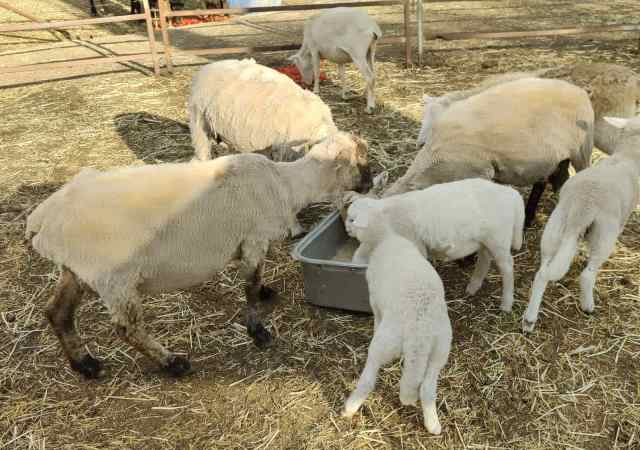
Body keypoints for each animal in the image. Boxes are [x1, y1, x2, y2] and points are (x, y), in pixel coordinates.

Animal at [25, 132, 371, 379]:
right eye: (362, 160)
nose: (370, 181)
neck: (287, 184)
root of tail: (42, 219)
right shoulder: (253, 239)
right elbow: (249, 285)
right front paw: (258, 331)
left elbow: (257, 281)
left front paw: (266, 293)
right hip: (115, 280)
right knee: (128, 329)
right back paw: (172, 363)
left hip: (76, 271)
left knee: (57, 313)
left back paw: (85, 365)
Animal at [341, 206, 452, 435]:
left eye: (353, 219)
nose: (346, 228)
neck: (385, 237)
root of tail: (420, 330)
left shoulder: (374, 299)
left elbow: (376, 315)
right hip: (441, 348)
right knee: (427, 388)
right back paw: (433, 425)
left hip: (385, 343)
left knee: (369, 379)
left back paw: (350, 407)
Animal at [345, 178, 525, 312]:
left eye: (352, 219)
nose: (346, 230)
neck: (386, 218)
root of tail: (510, 193)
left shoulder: (413, 244)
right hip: (486, 239)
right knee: (485, 259)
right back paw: (473, 286)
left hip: (499, 238)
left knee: (507, 266)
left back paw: (506, 303)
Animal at [386, 77, 594, 228]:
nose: (420, 142)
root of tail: (580, 91)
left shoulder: (478, 173)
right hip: (557, 157)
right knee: (557, 180)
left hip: (582, 150)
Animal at [522, 116, 640, 332]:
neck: (628, 154)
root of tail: (583, 206)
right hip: (604, 234)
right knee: (587, 275)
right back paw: (588, 307)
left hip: (556, 224)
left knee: (543, 273)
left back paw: (529, 319)